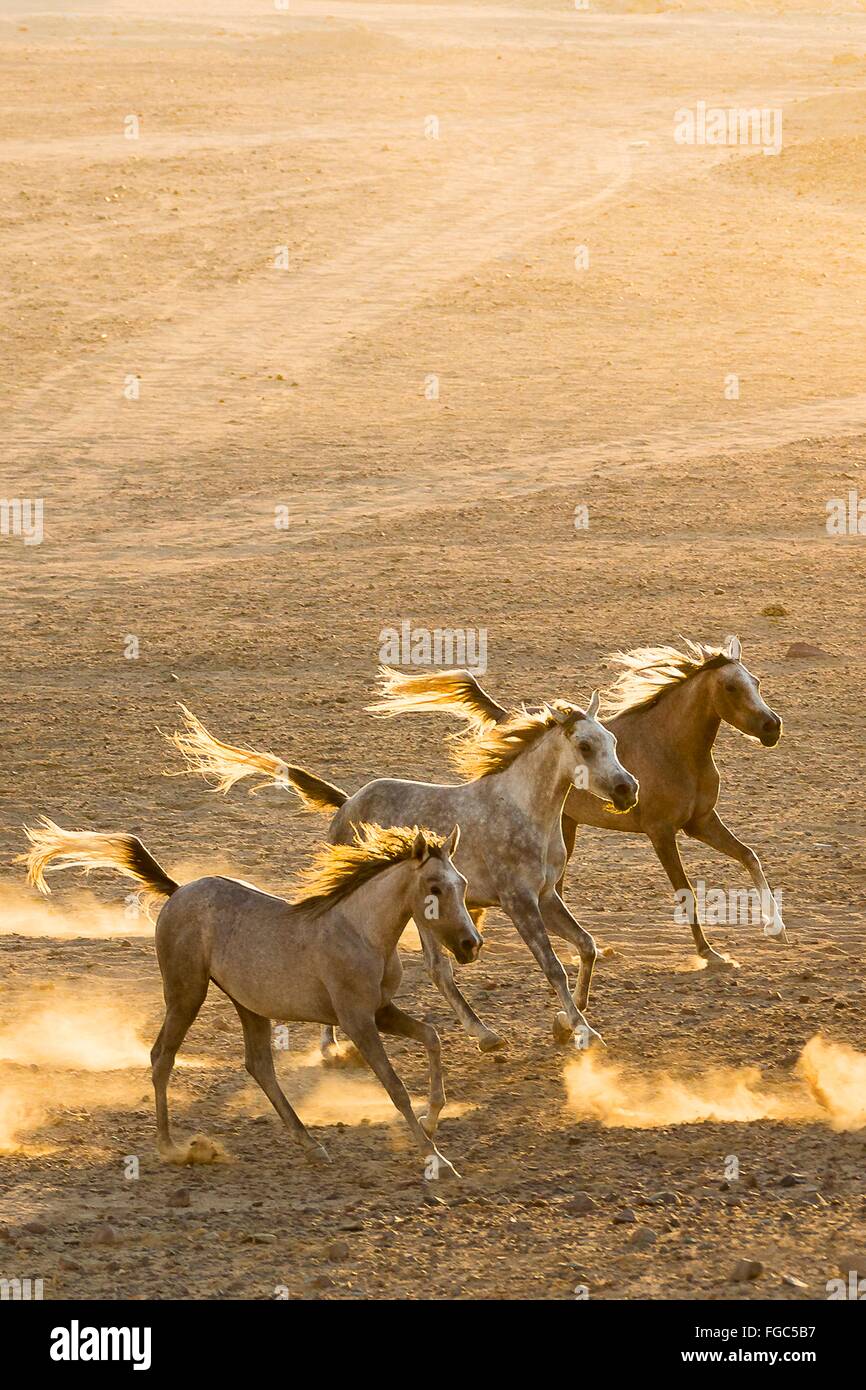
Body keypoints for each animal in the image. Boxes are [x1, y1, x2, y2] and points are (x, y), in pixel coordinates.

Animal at [22, 817, 481, 1179]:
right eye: (434, 886)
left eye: (462, 884)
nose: (470, 944)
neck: (361, 932)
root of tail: (177, 891)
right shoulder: (357, 1021)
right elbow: (395, 1086)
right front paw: (437, 1159)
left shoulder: (381, 1011)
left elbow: (432, 1037)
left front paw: (432, 1119)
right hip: (186, 993)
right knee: (162, 1056)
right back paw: (171, 1147)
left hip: (248, 1004)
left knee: (259, 1065)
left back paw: (311, 1146)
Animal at [168, 692, 639, 1054]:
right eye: (585, 746)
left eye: (614, 740)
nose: (627, 789)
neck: (523, 810)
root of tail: (345, 804)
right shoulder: (518, 902)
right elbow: (553, 966)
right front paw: (584, 1030)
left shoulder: (545, 897)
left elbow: (587, 946)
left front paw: (568, 1019)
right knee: (437, 969)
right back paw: (337, 1045)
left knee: (438, 969)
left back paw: (481, 1034)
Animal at [368, 635, 786, 973]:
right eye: (731, 687)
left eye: (757, 682)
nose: (772, 727)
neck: (672, 748)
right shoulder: (662, 832)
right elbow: (686, 892)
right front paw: (709, 953)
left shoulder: (700, 821)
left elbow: (749, 856)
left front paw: (776, 928)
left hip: (567, 828)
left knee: (560, 888)